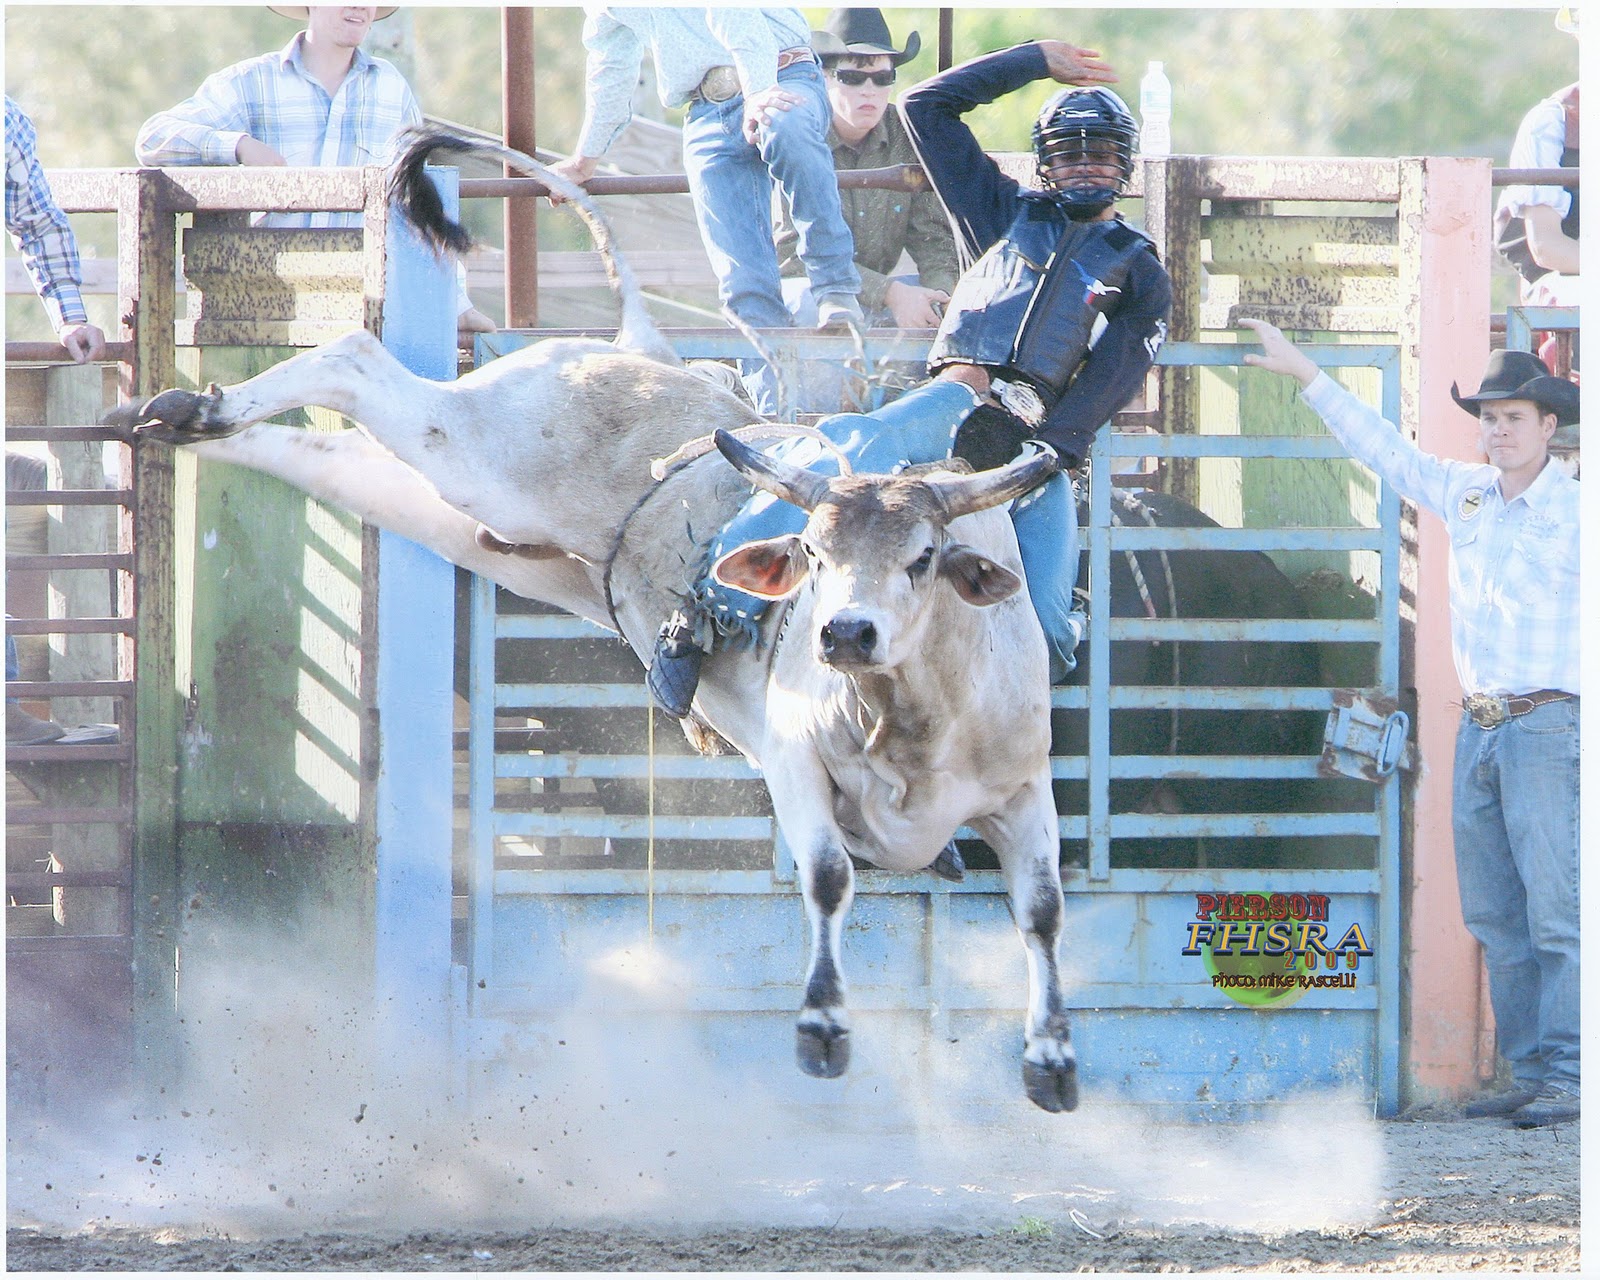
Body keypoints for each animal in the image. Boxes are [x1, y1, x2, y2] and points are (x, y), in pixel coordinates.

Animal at [110, 128, 1078, 1113]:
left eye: (923, 558)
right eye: (811, 552)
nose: (843, 634)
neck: (915, 715)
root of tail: (636, 346)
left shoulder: (1023, 793)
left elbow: (1041, 912)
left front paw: (1051, 1060)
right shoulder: (796, 766)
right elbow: (829, 876)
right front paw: (822, 1027)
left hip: (492, 528)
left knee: (337, 450)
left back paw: (174, 418)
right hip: (484, 453)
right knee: (350, 356)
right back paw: (195, 408)